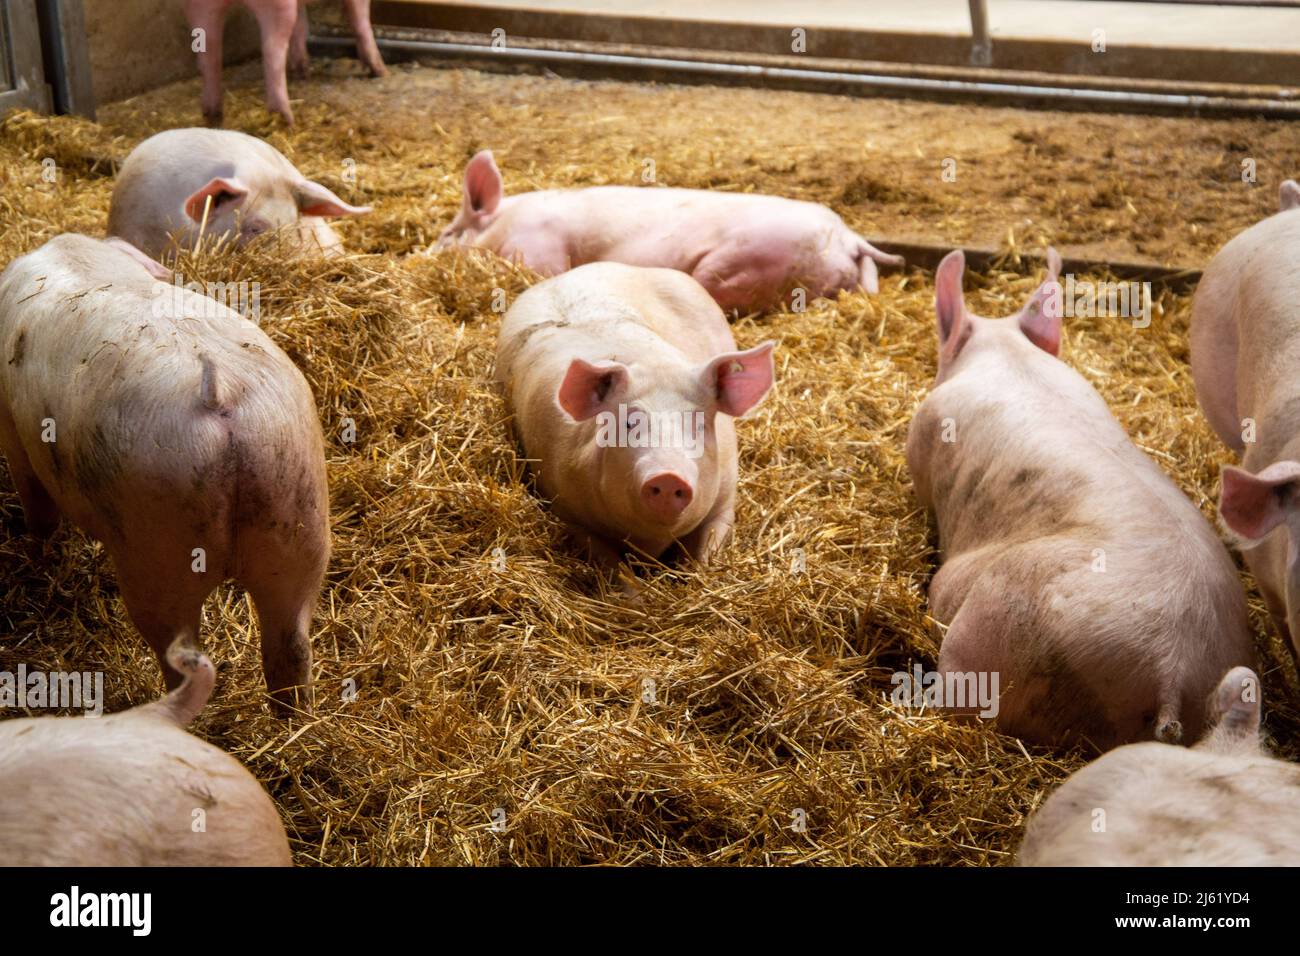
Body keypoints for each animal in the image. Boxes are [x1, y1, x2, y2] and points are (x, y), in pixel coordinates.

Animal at [0, 234, 329, 713]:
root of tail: (217, 391)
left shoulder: (12, 433)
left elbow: (37, 507)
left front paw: (37, 552)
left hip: (156, 547)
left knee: (180, 653)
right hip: (298, 514)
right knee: (291, 645)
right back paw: (294, 720)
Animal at [184, 0, 387, 125]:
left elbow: (300, 26)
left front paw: (303, 72)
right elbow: (360, 21)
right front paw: (380, 72)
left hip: (201, 6)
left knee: (209, 55)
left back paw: (212, 115)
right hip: (278, 6)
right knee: (272, 51)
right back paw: (285, 118)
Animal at [439, 150, 904, 313]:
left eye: (447, 233)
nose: (428, 253)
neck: (504, 222)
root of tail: (849, 238)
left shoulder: (538, 249)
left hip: (736, 266)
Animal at [495, 262, 776, 571]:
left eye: (700, 424)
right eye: (629, 423)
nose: (669, 476)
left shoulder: (725, 497)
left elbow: (707, 548)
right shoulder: (569, 515)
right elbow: (612, 566)